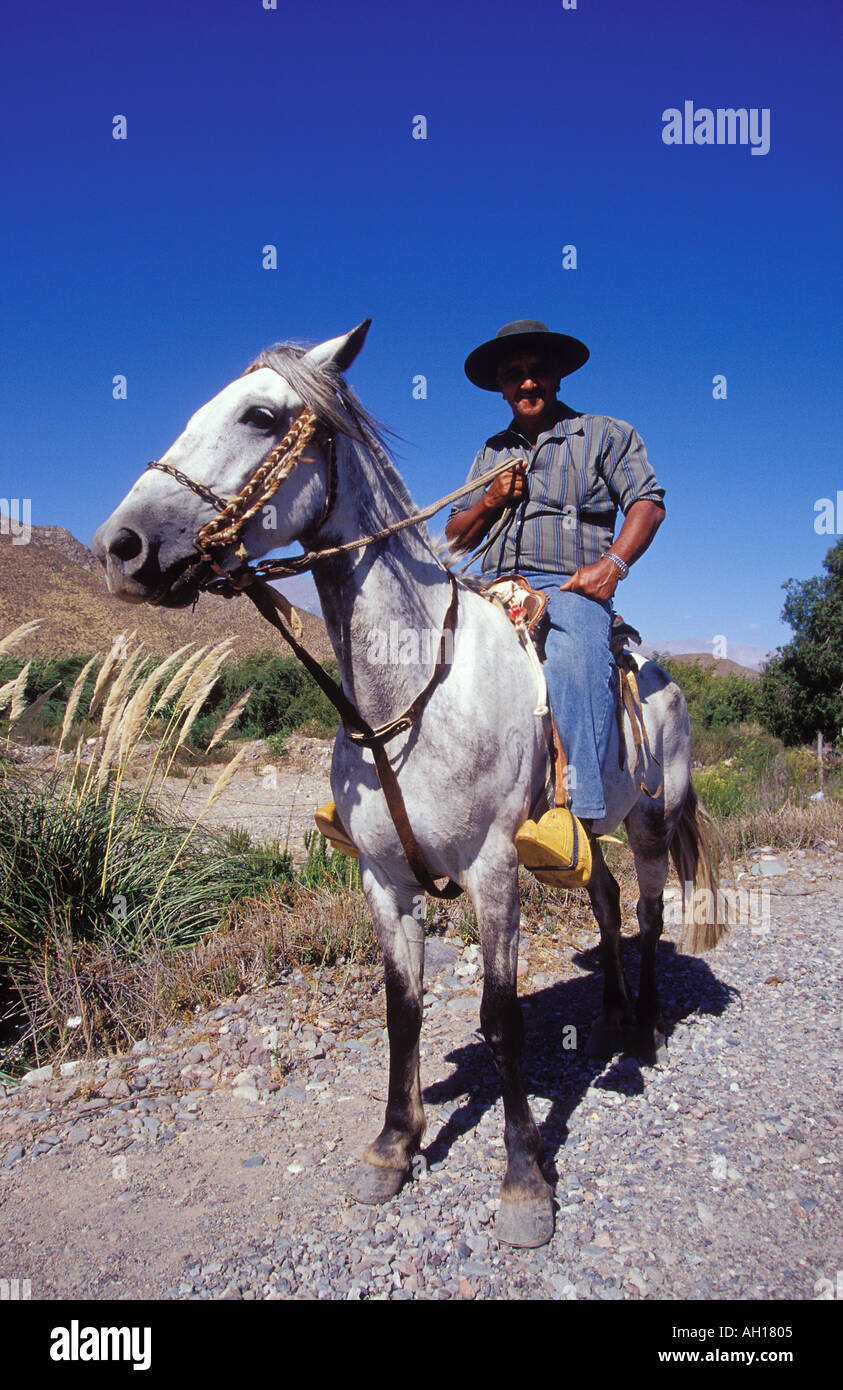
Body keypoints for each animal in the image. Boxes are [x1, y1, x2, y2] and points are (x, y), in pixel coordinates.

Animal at [92, 320, 725, 1248]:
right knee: (607, 900)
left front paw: (524, 1182)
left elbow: (500, 1021)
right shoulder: (384, 878)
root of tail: (661, 672)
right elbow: (402, 1010)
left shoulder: (494, 872)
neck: (410, 689)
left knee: (646, 911)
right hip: (583, 834)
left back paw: (640, 1028)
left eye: (258, 415)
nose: (121, 548)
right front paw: (393, 1147)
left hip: (650, 817)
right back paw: (610, 1011)